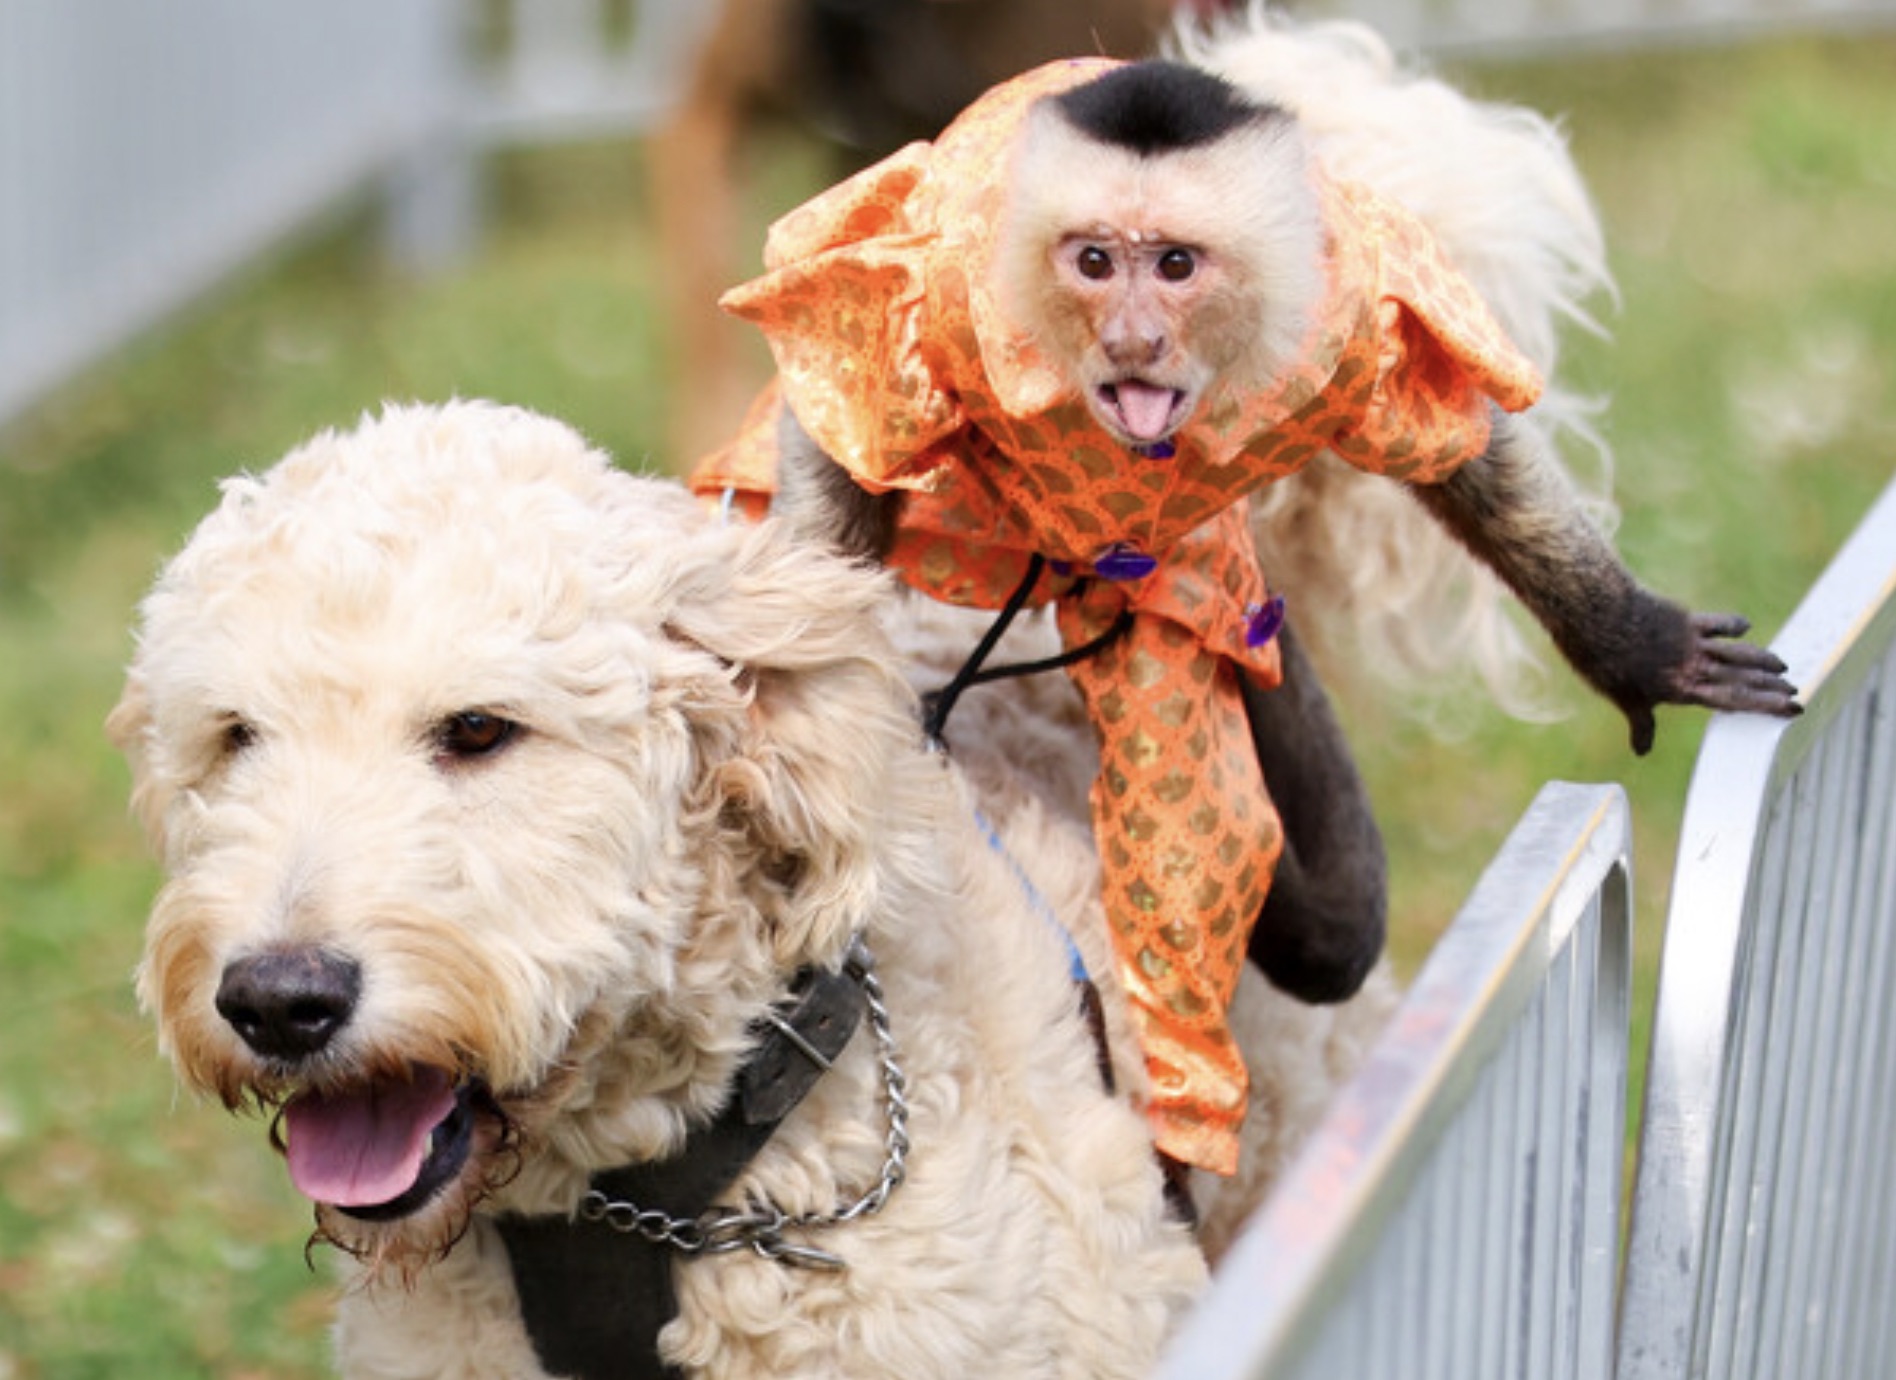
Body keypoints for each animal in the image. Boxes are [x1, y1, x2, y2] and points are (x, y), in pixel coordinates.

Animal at [692, 22, 1799, 1179]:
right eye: (1095, 262)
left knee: (1318, 920)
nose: (1132, 337)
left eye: (1175, 265)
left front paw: (1634, 647)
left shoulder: (1340, 331)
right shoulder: (950, 300)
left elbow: (1463, 447)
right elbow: (851, 420)